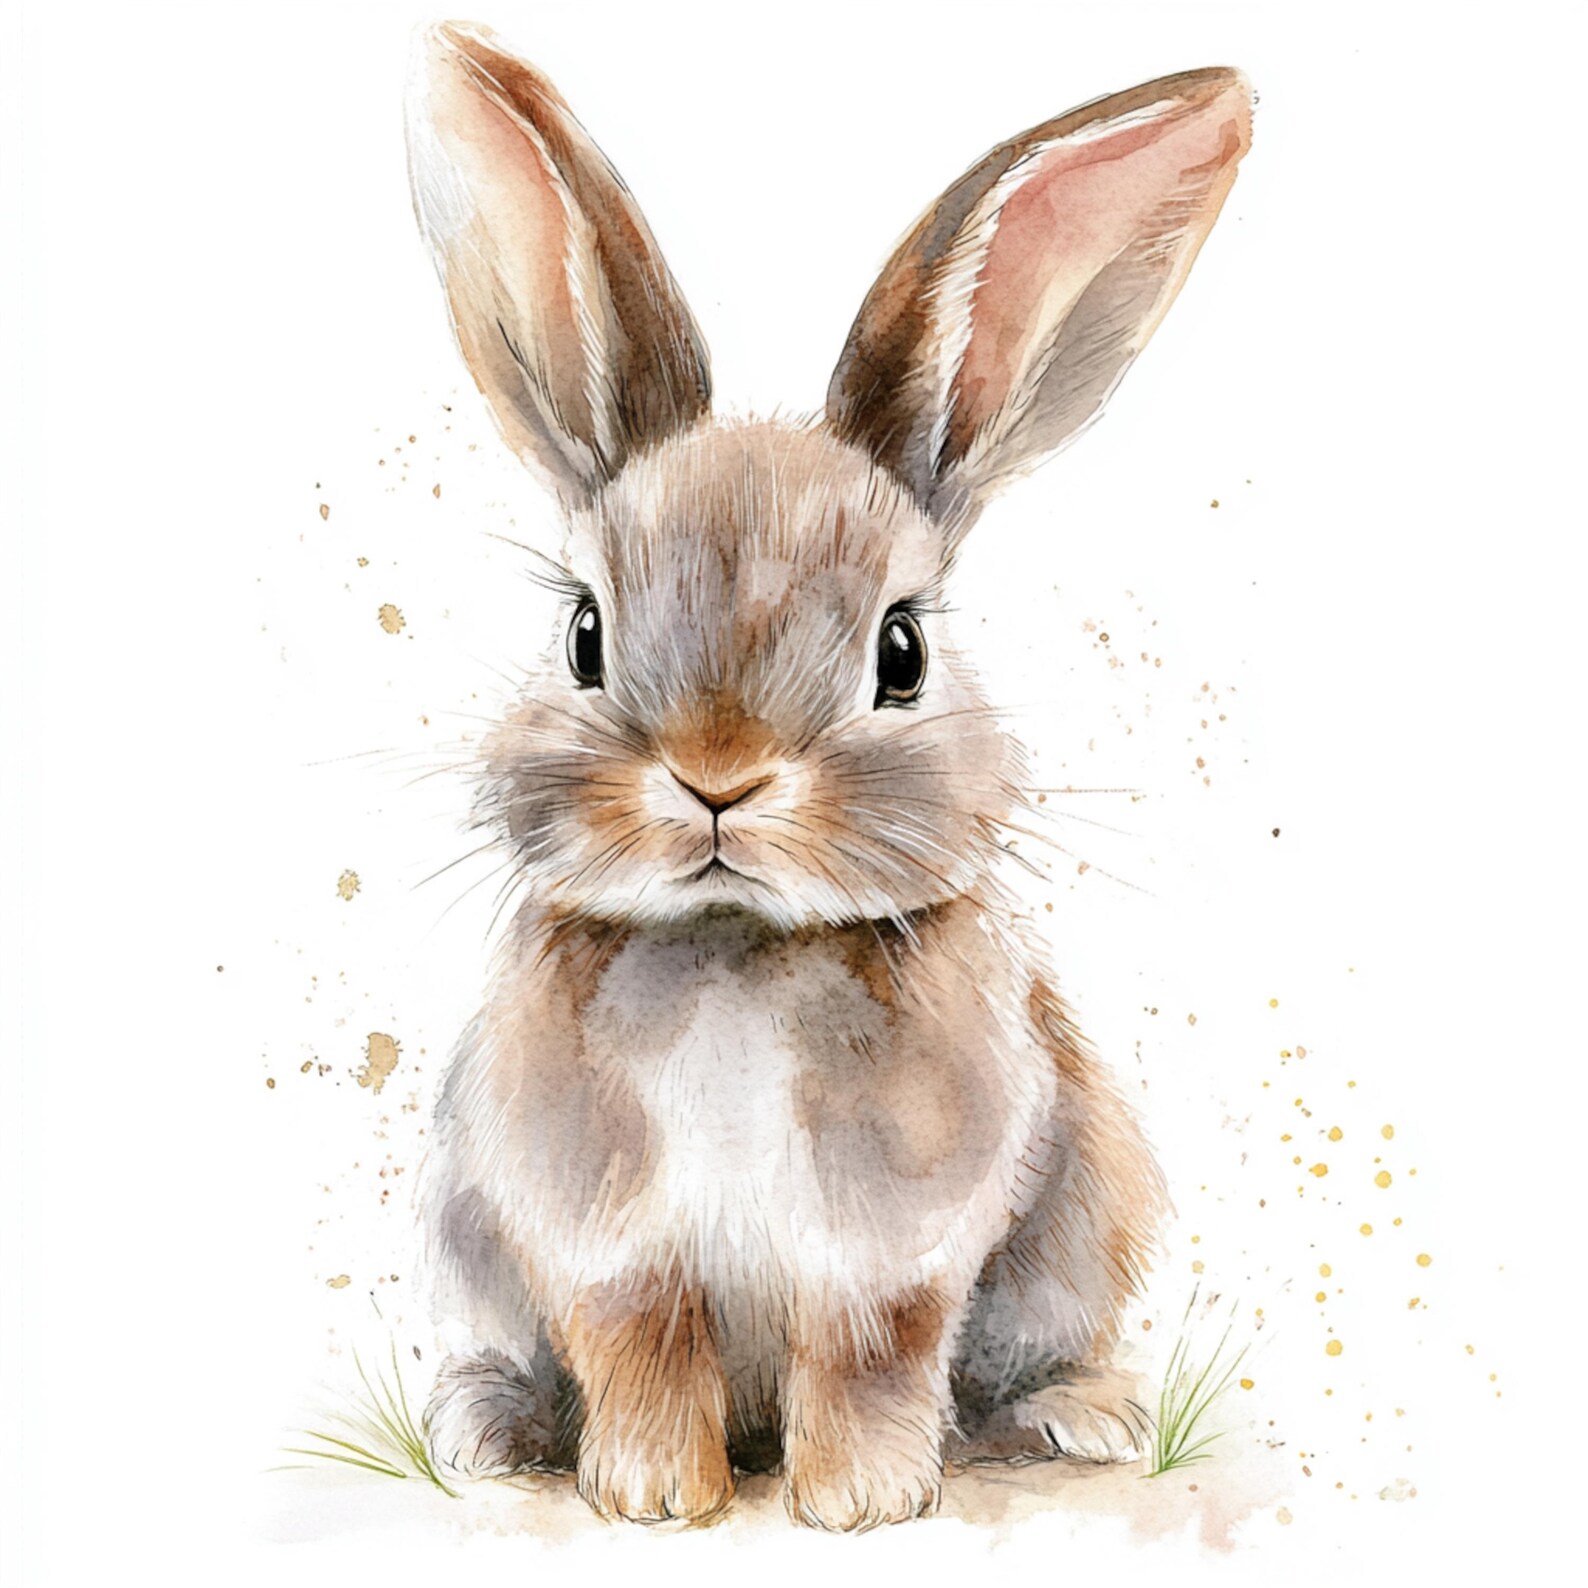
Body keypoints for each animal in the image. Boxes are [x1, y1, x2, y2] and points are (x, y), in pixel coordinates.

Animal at [404, 21, 1253, 1530]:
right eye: (583, 634)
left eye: (900, 651)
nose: (719, 776)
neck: (737, 951)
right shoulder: (598, 1230)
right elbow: (639, 1339)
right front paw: (652, 1494)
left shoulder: (898, 1239)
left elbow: (871, 1348)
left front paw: (858, 1502)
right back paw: (490, 1433)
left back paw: (1082, 1421)